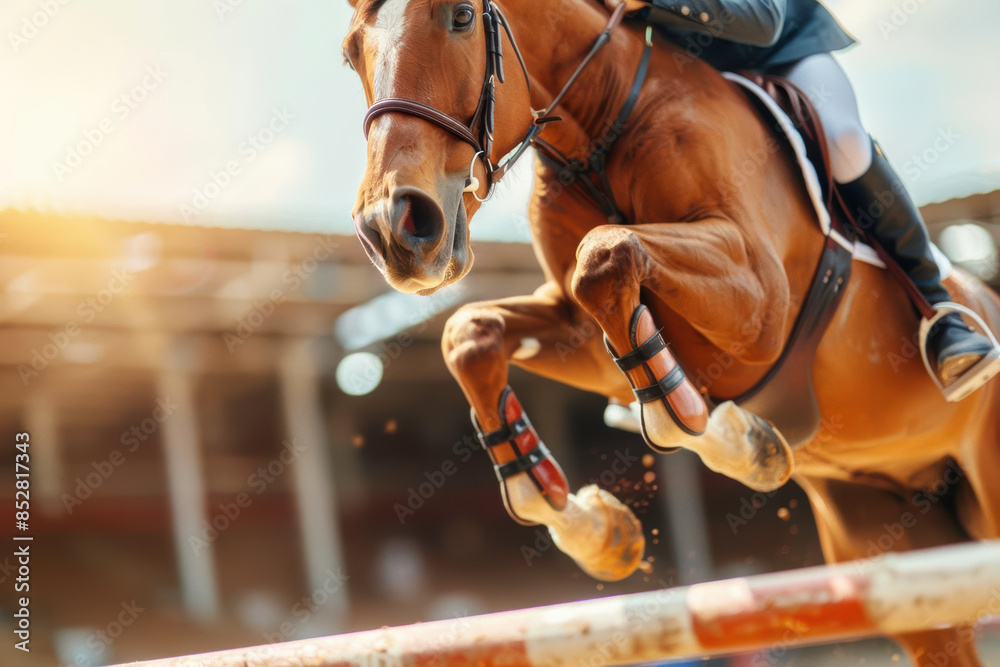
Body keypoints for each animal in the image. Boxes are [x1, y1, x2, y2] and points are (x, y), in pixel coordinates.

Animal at [342, 0, 1000, 663]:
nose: (394, 230)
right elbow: (472, 332)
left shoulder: (760, 300)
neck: (600, 131)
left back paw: (959, 344)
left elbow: (605, 256)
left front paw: (735, 441)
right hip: (899, 557)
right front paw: (597, 530)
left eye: (460, 17)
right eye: (349, 54)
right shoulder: (590, 339)